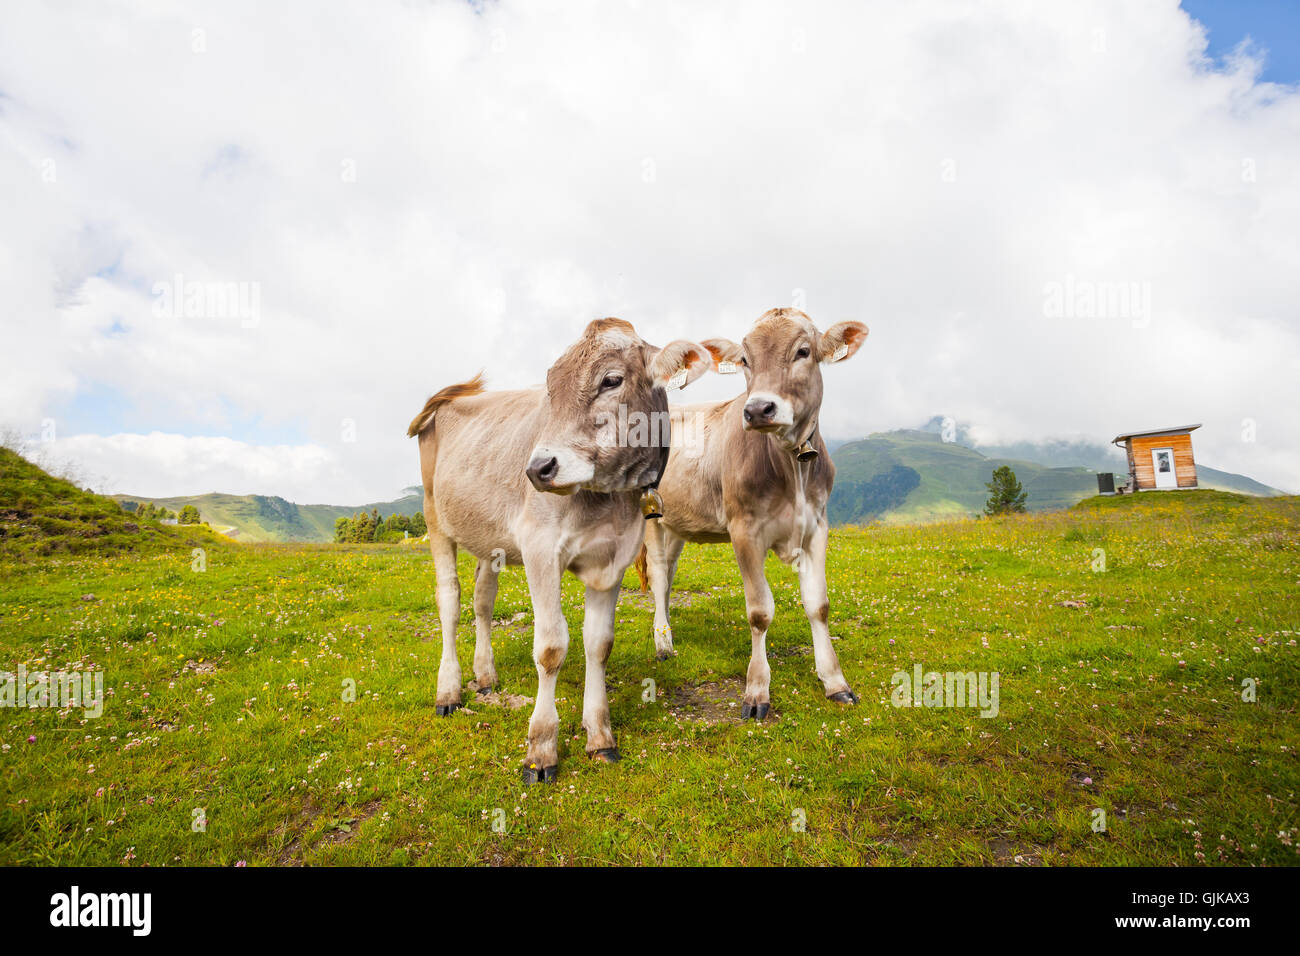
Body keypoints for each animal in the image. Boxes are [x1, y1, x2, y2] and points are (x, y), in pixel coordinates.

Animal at [408, 318, 710, 781]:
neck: (608, 500)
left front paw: (600, 736)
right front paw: (541, 748)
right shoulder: (540, 548)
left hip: (489, 538)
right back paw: (449, 691)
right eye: (550, 387)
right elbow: (551, 648)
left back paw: (486, 675)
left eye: (611, 380)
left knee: (482, 600)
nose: (537, 469)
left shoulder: (614, 558)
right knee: (450, 602)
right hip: (434, 516)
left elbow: (599, 644)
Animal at [636, 307, 869, 718]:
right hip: (652, 515)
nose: (758, 409)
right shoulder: (744, 530)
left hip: (678, 521)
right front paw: (757, 691)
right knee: (660, 573)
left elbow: (819, 605)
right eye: (745, 359)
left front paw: (835, 682)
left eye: (803, 351)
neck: (791, 465)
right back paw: (663, 643)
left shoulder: (817, 526)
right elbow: (760, 611)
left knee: (670, 573)